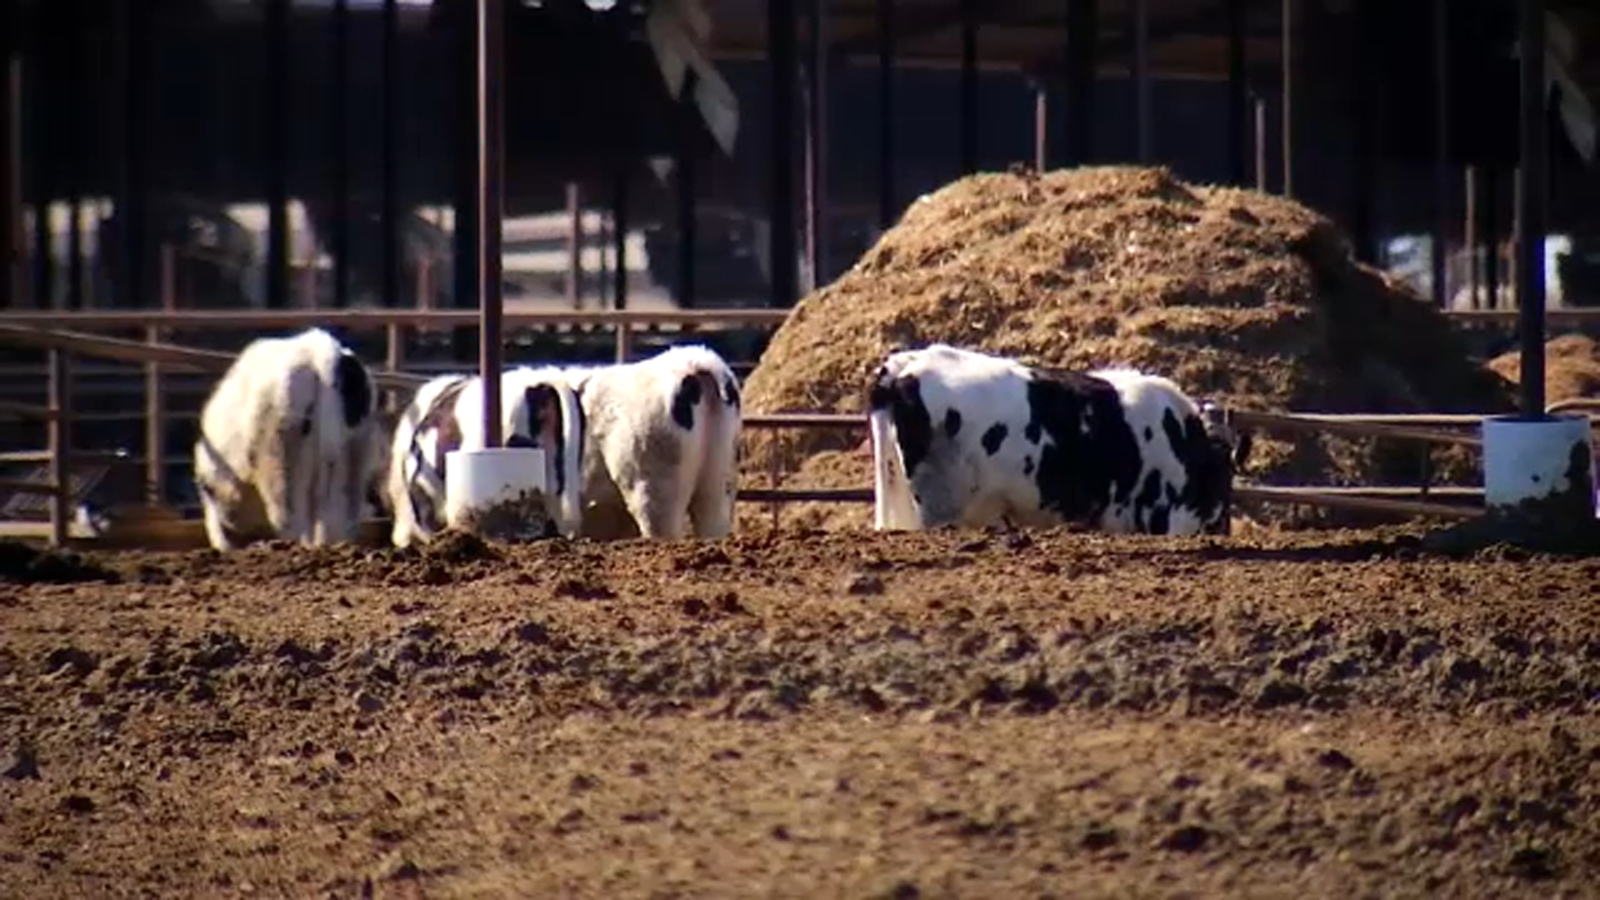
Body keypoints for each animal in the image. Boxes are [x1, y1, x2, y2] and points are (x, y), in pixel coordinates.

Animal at [193, 327, 380, 550]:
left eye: (207, 489)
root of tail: (319, 350)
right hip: (354, 455)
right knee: (340, 520)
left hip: (280, 460)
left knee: (292, 522)